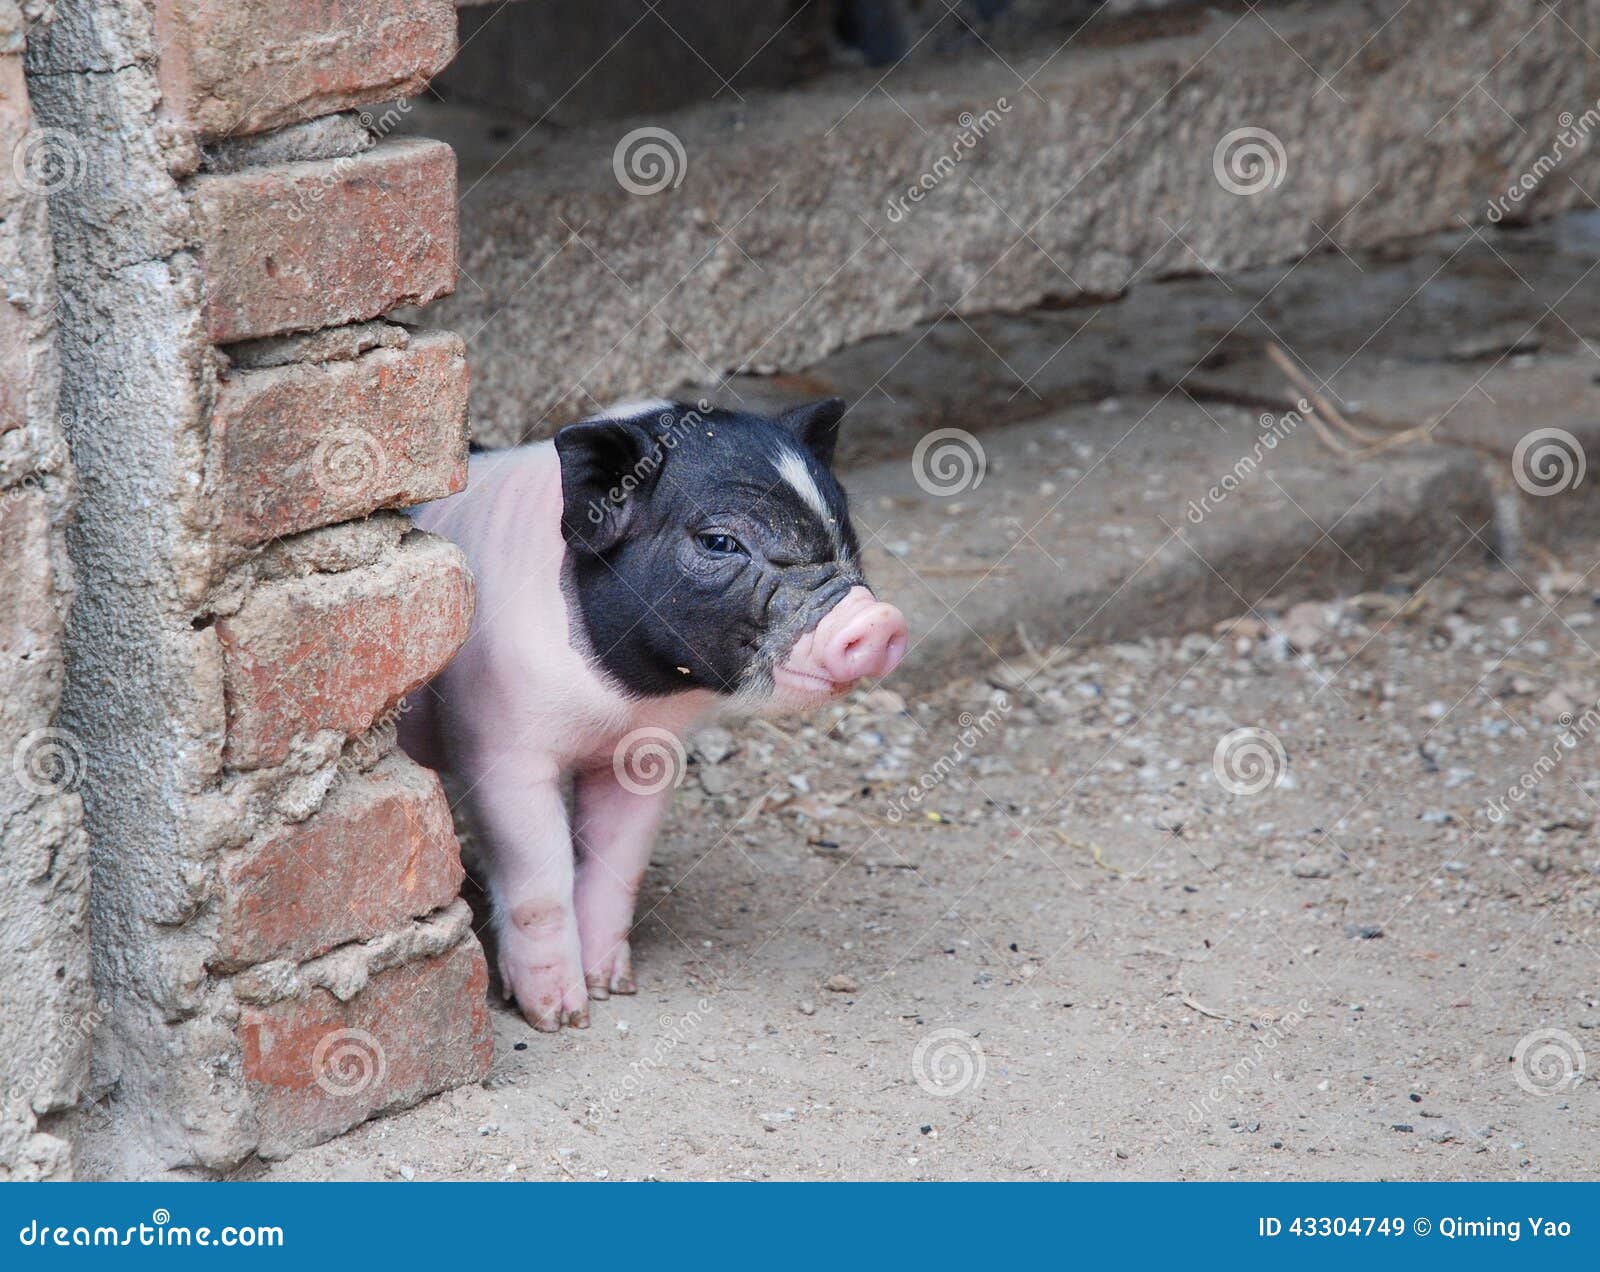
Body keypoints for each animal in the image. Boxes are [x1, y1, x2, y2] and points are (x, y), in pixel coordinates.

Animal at [401, 398, 908, 1031]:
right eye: (719, 542)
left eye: (844, 531)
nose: (880, 620)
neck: (613, 708)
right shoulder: (495, 742)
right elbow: (541, 876)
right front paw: (562, 1018)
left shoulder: (645, 755)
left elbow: (619, 862)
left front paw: (613, 986)